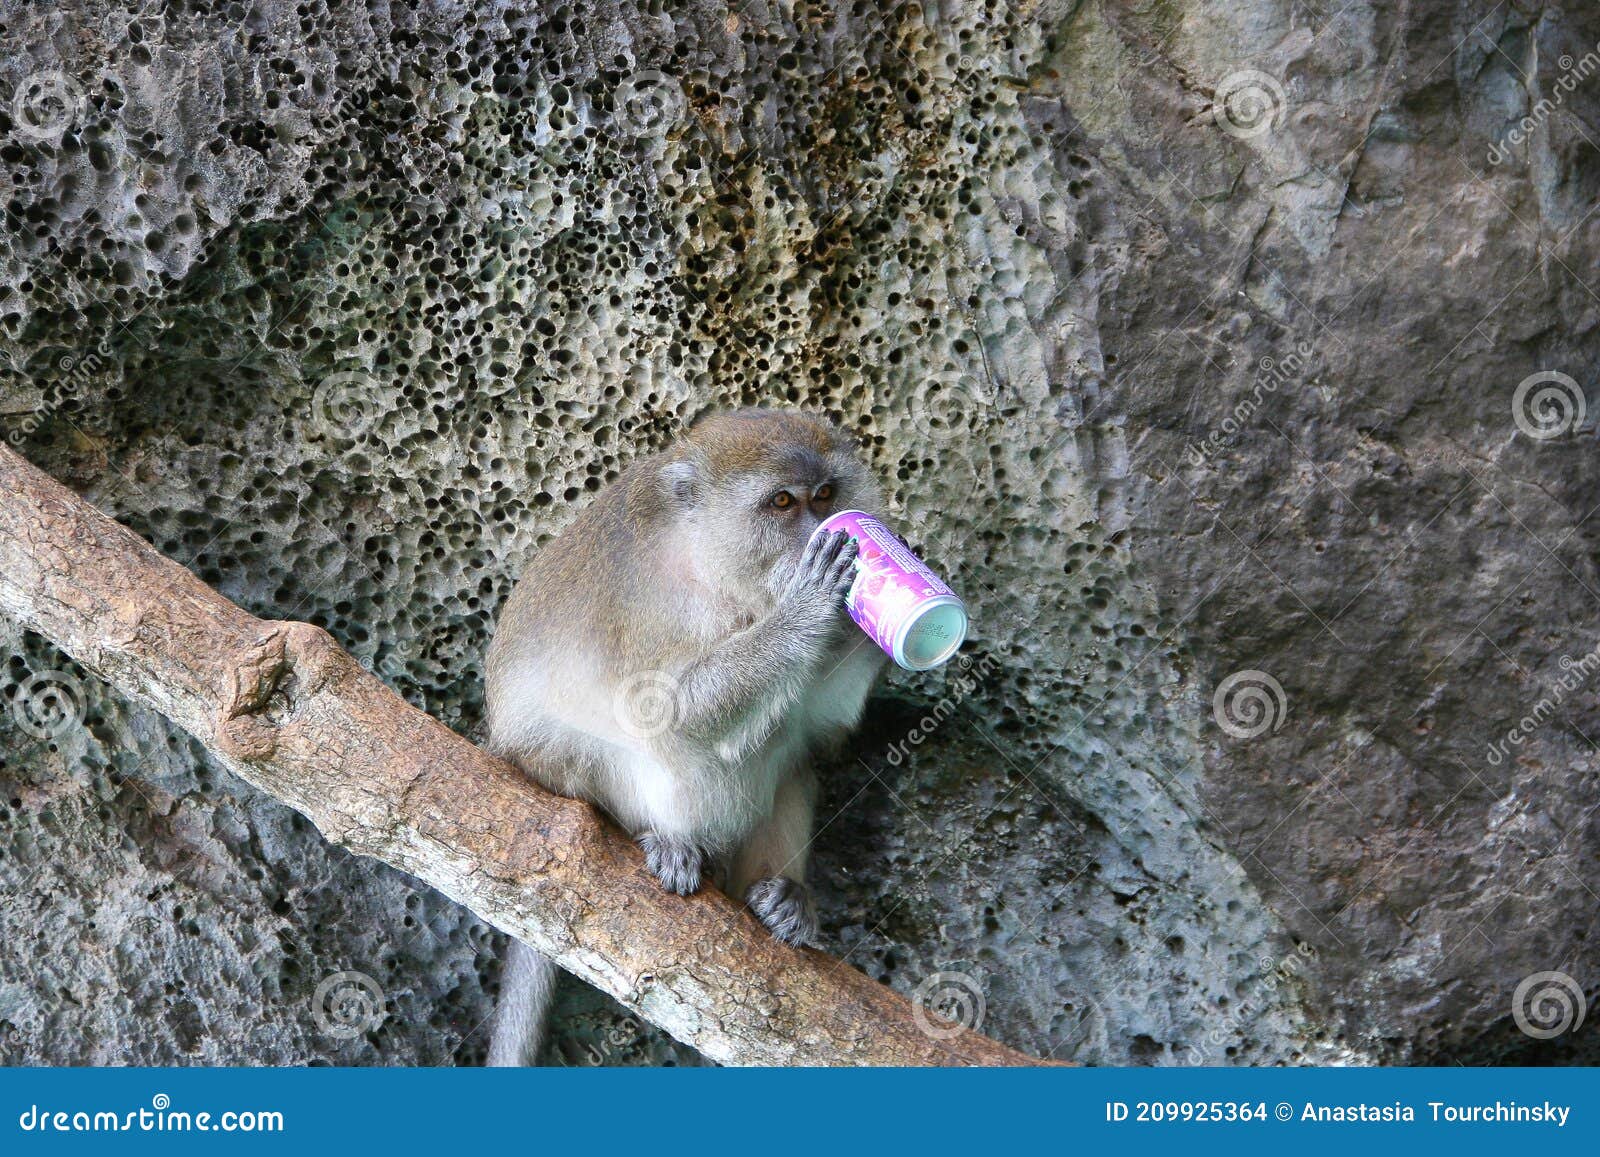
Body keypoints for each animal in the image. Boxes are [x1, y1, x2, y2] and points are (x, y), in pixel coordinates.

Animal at [482, 407, 888, 1066]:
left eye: (827, 495)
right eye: (783, 503)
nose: (824, 531)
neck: (713, 567)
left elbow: (817, 726)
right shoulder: (656, 607)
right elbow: (664, 711)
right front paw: (809, 609)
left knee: (791, 766)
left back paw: (783, 899)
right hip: (565, 778)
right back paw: (666, 840)